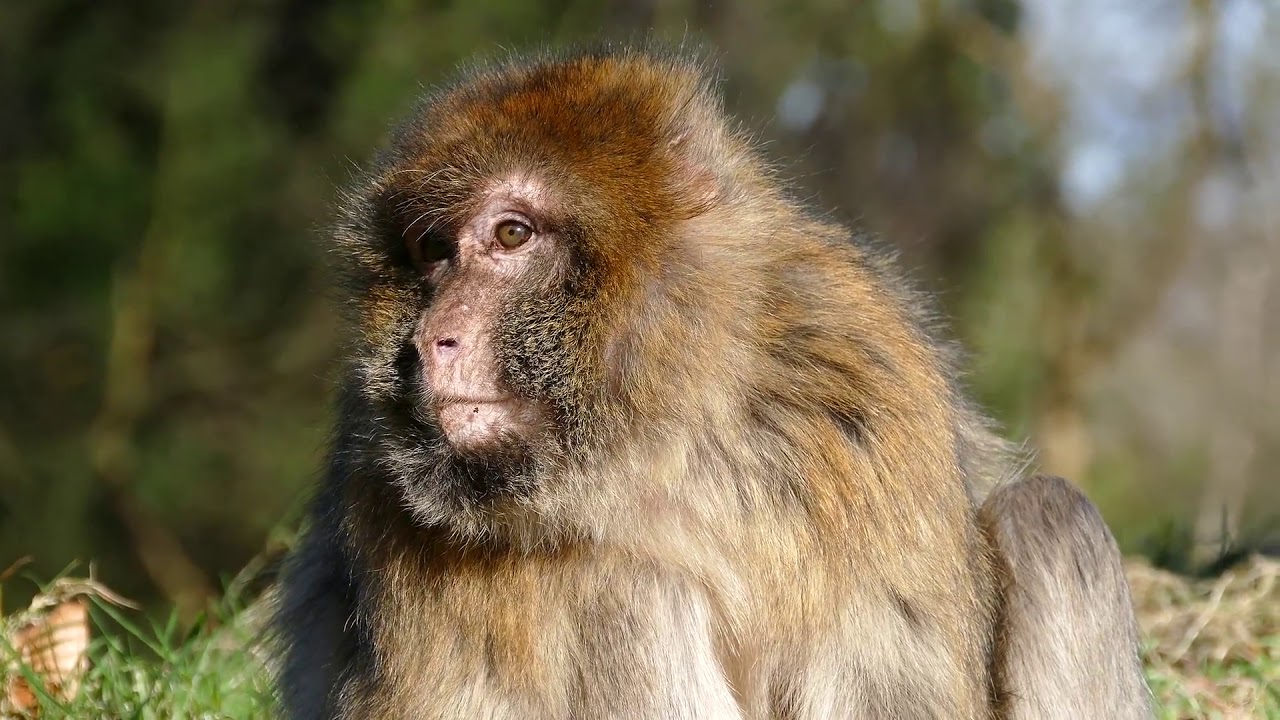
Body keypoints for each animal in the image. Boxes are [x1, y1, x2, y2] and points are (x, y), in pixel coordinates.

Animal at [273, 45, 1152, 719]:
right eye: (433, 251)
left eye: (512, 235)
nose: (431, 339)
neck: (657, 439)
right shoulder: (381, 488)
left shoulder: (862, 386)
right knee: (625, 586)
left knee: (1051, 515)